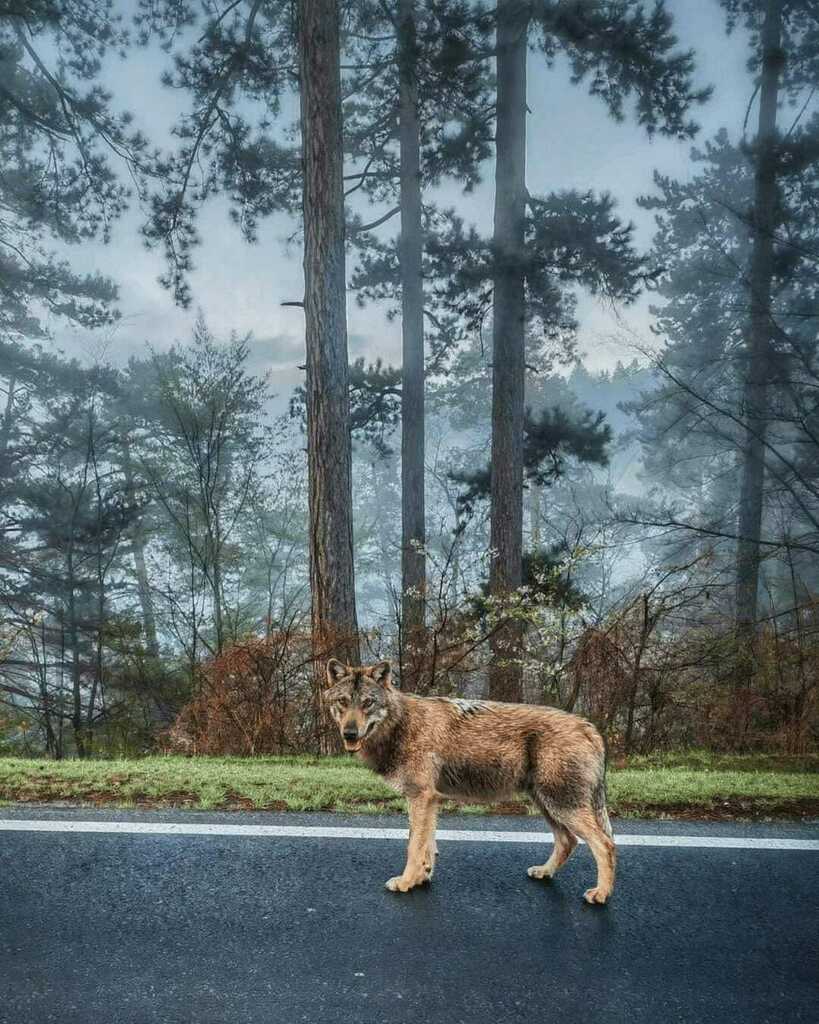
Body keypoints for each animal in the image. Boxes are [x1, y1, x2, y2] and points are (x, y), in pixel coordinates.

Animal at [325, 658, 616, 904]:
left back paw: (601, 894)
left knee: (605, 844)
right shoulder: (430, 801)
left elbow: (413, 846)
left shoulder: (420, 798)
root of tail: (589, 727)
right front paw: (421, 878)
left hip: (562, 806)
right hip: (548, 805)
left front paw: (406, 882)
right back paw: (545, 872)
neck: (400, 725)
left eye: (367, 703)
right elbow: (427, 847)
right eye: (342, 701)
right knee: (568, 841)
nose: (350, 733)